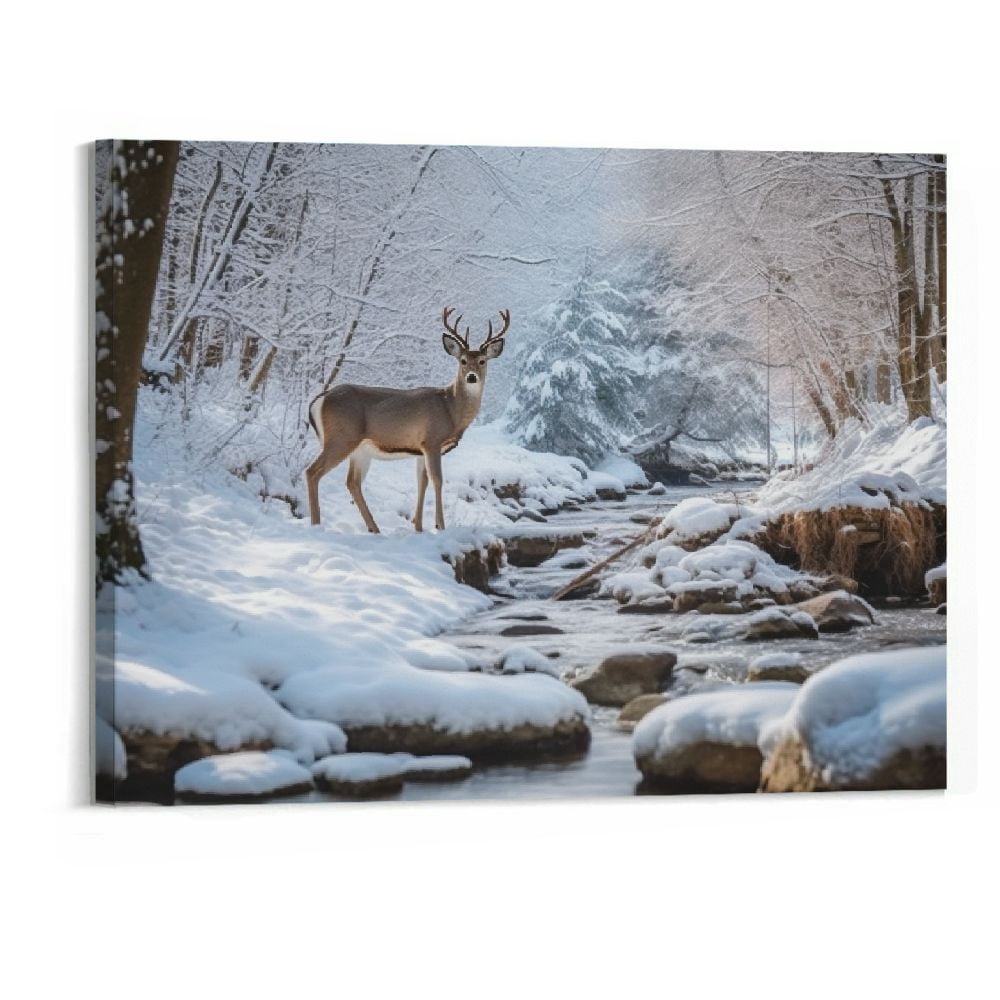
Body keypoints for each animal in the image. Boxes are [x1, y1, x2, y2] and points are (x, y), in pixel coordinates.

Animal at [305, 307, 510, 533]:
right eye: (463, 360)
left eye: (482, 361)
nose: (471, 377)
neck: (450, 408)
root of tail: (318, 401)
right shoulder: (432, 440)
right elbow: (438, 480)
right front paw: (440, 525)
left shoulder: (420, 449)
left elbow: (422, 482)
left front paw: (418, 526)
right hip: (341, 437)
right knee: (312, 472)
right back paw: (316, 524)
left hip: (360, 449)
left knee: (352, 482)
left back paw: (374, 528)